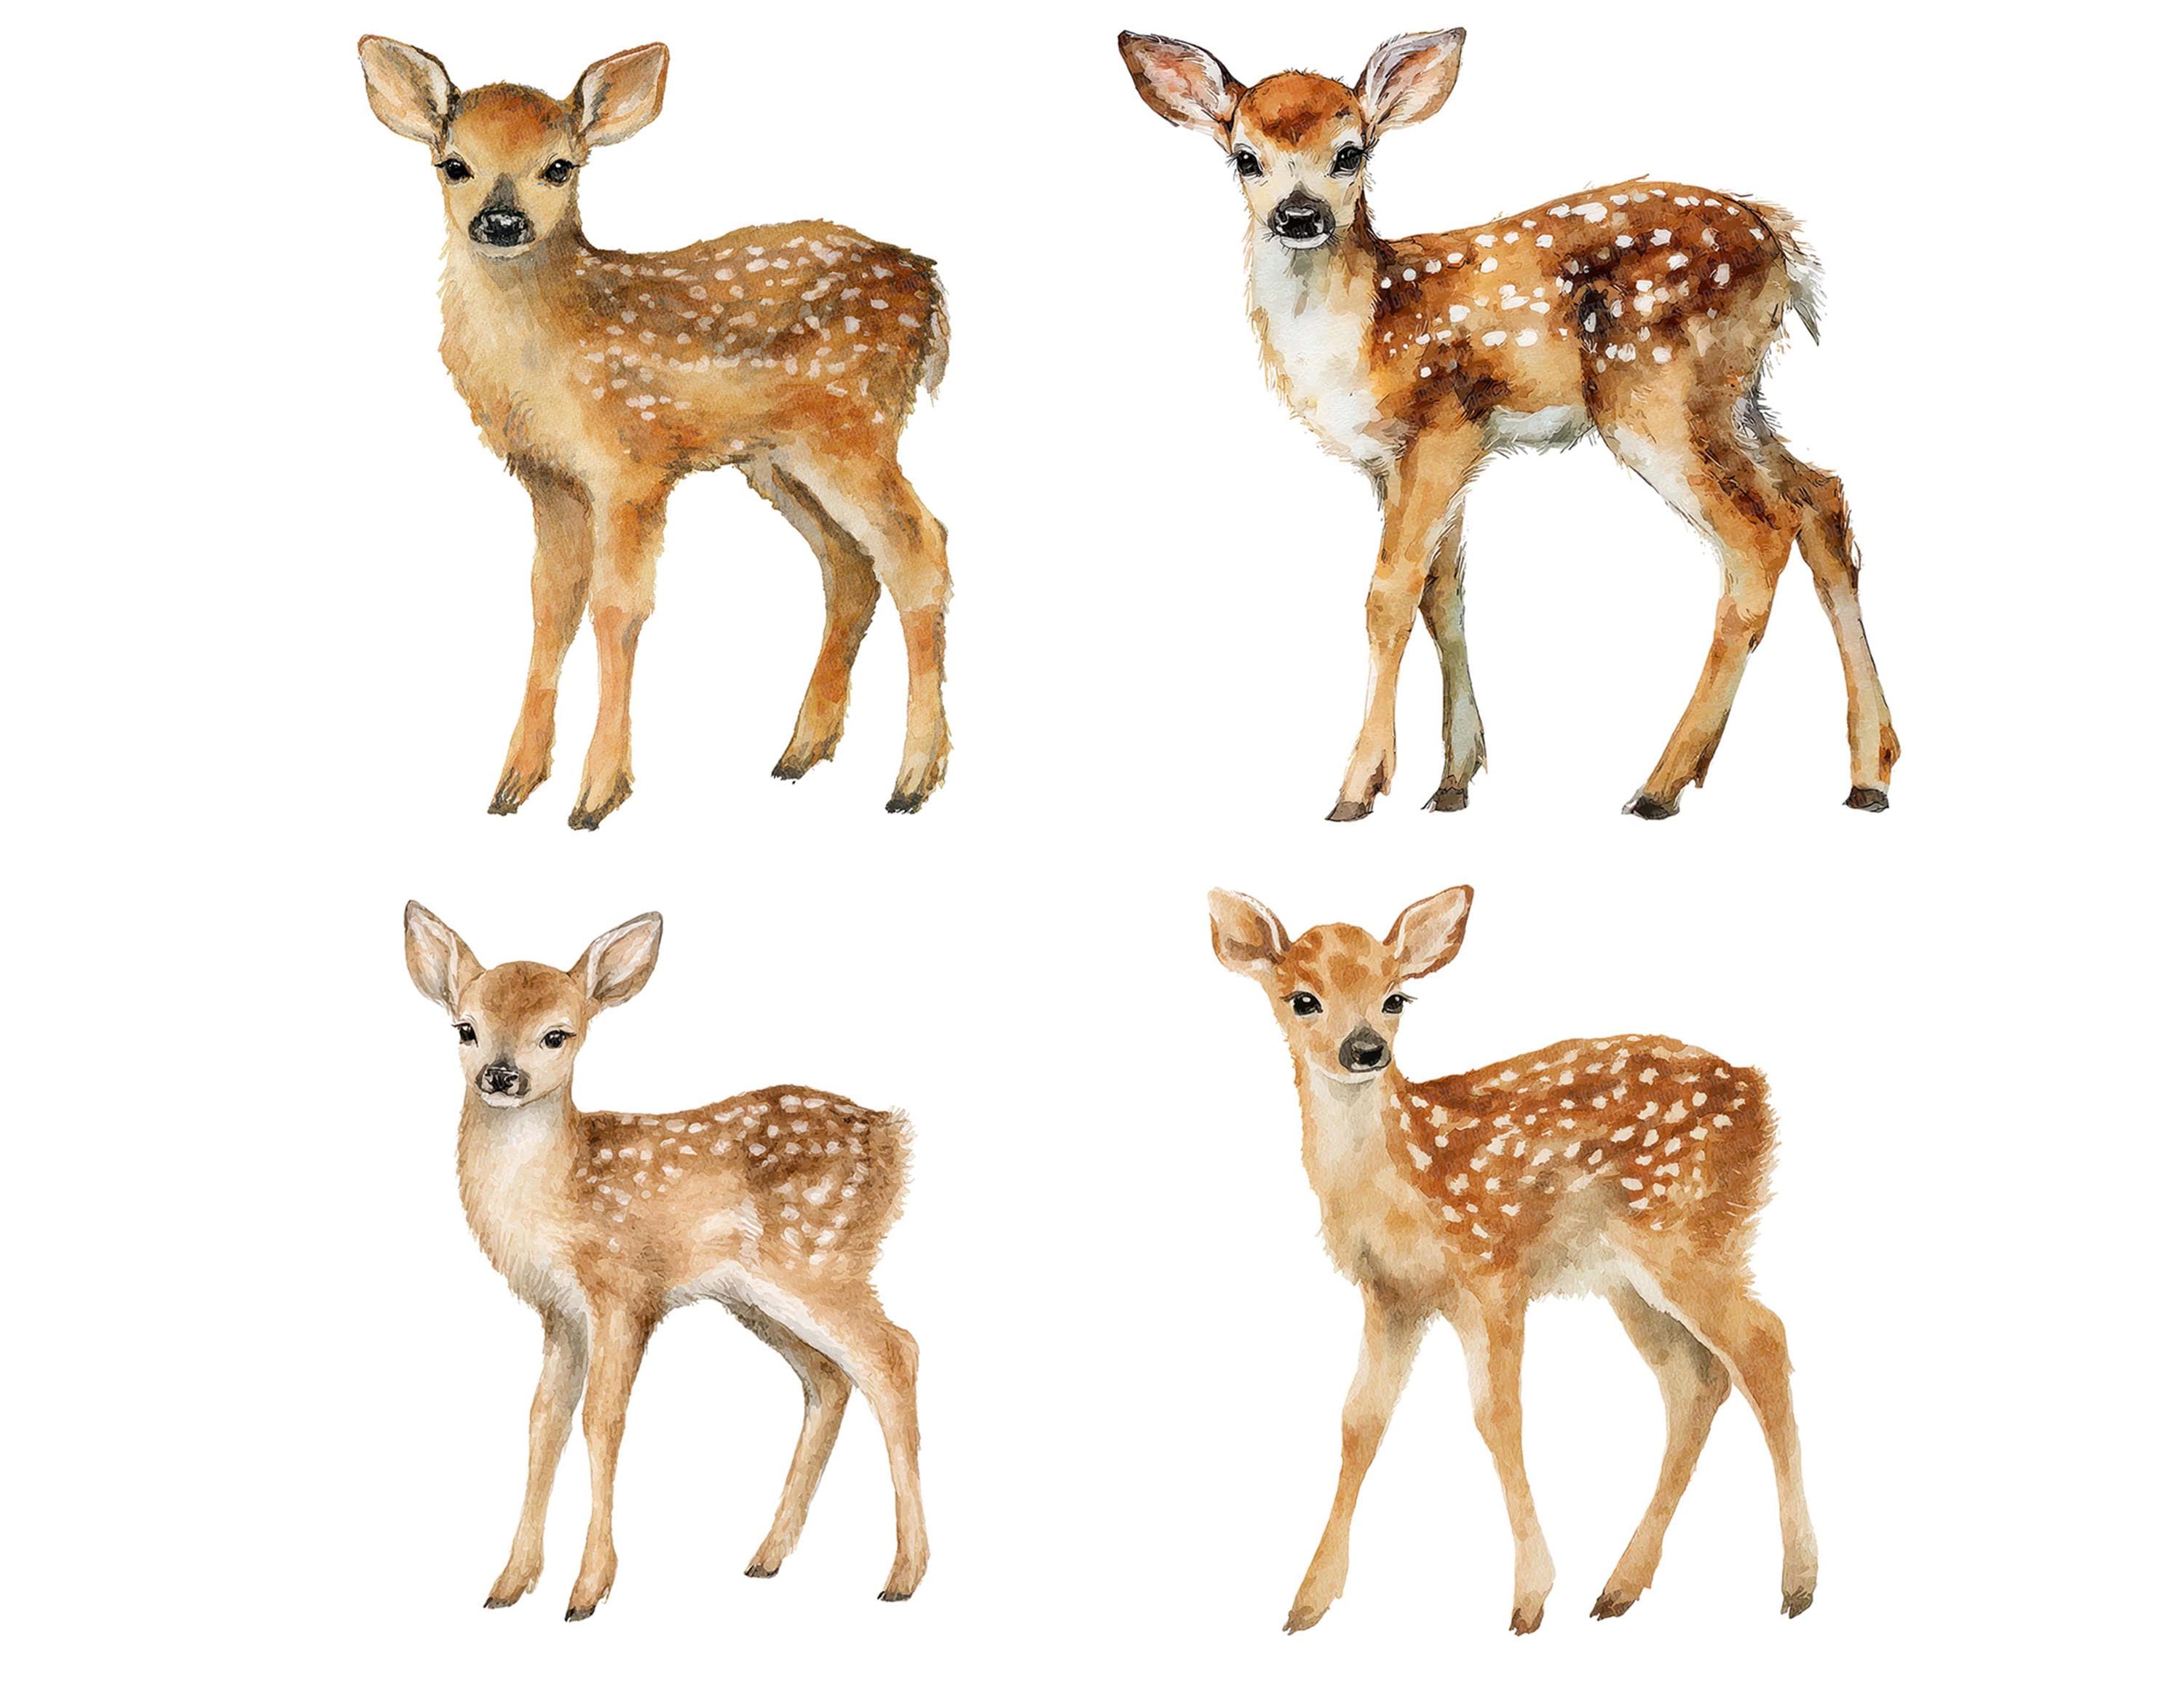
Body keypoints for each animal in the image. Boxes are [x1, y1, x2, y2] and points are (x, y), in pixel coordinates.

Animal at [359, 39, 952, 828]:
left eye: (560, 165)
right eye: (454, 163)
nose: (502, 222)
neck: (556, 348)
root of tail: (931, 288)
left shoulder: (631, 463)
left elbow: (617, 609)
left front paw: (597, 794)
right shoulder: (549, 477)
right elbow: (550, 605)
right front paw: (513, 784)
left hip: (852, 424)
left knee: (919, 546)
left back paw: (913, 778)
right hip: (778, 458)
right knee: (850, 565)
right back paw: (801, 752)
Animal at [401, 902, 927, 1618]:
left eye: (556, 1035)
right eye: (467, 1028)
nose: (501, 1075)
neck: (560, 1187)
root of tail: (894, 1135)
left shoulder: (623, 1289)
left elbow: (601, 1419)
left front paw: (587, 1589)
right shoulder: (560, 1311)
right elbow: (544, 1421)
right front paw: (509, 1583)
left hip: (818, 1258)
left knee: (894, 1355)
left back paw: (903, 1574)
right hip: (756, 1296)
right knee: (830, 1378)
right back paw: (767, 1557)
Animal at [1123, 28, 1898, 821]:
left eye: (1351, 152)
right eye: (1244, 156)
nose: (1301, 215)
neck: (1368, 332)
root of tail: (1778, 240)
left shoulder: (1442, 426)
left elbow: (1388, 595)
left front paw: (1358, 788)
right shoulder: (1404, 461)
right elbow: (1445, 594)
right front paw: (1453, 779)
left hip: (1653, 392)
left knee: (1759, 531)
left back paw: (1660, 786)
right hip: (1732, 396)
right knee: (1820, 496)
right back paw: (1869, 774)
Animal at [1208, 884, 1816, 1633]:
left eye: (1395, 996)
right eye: (1302, 998)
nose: (1366, 1048)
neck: (1404, 1180)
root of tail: (1759, 1092)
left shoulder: (1493, 1269)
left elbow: (1498, 1415)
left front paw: (1530, 1596)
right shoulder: (1392, 1293)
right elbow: (1359, 1420)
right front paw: (1309, 1599)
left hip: (1690, 1234)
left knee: (1763, 1342)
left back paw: (1798, 1581)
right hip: (1627, 1278)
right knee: (1696, 1381)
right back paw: (1620, 1586)